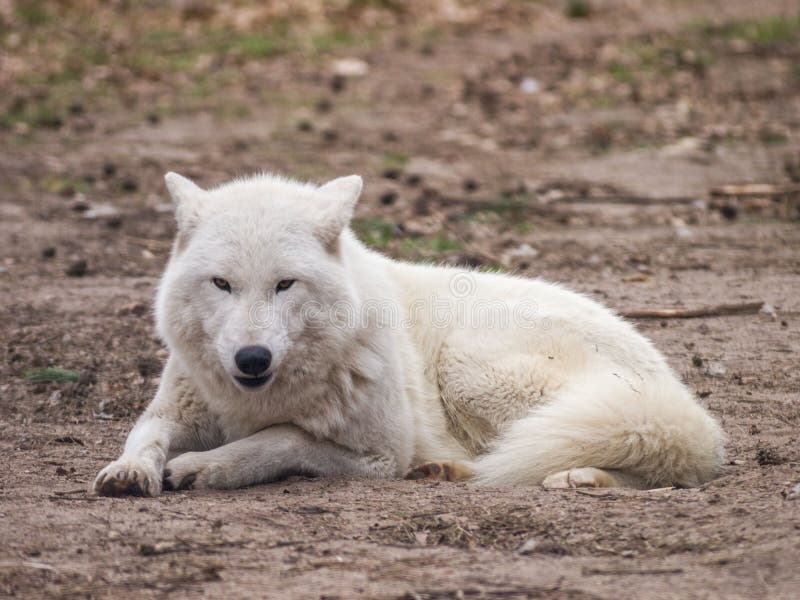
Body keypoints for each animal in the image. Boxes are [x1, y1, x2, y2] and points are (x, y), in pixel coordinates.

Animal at [93, 172, 725, 496]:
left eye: (284, 284)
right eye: (222, 284)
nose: (252, 358)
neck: (259, 397)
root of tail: (671, 384)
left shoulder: (380, 454)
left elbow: (278, 440)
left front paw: (207, 467)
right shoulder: (175, 410)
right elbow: (144, 433)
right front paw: (131, 472)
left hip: (469, 364)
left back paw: (577, 477)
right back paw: (456, 471)